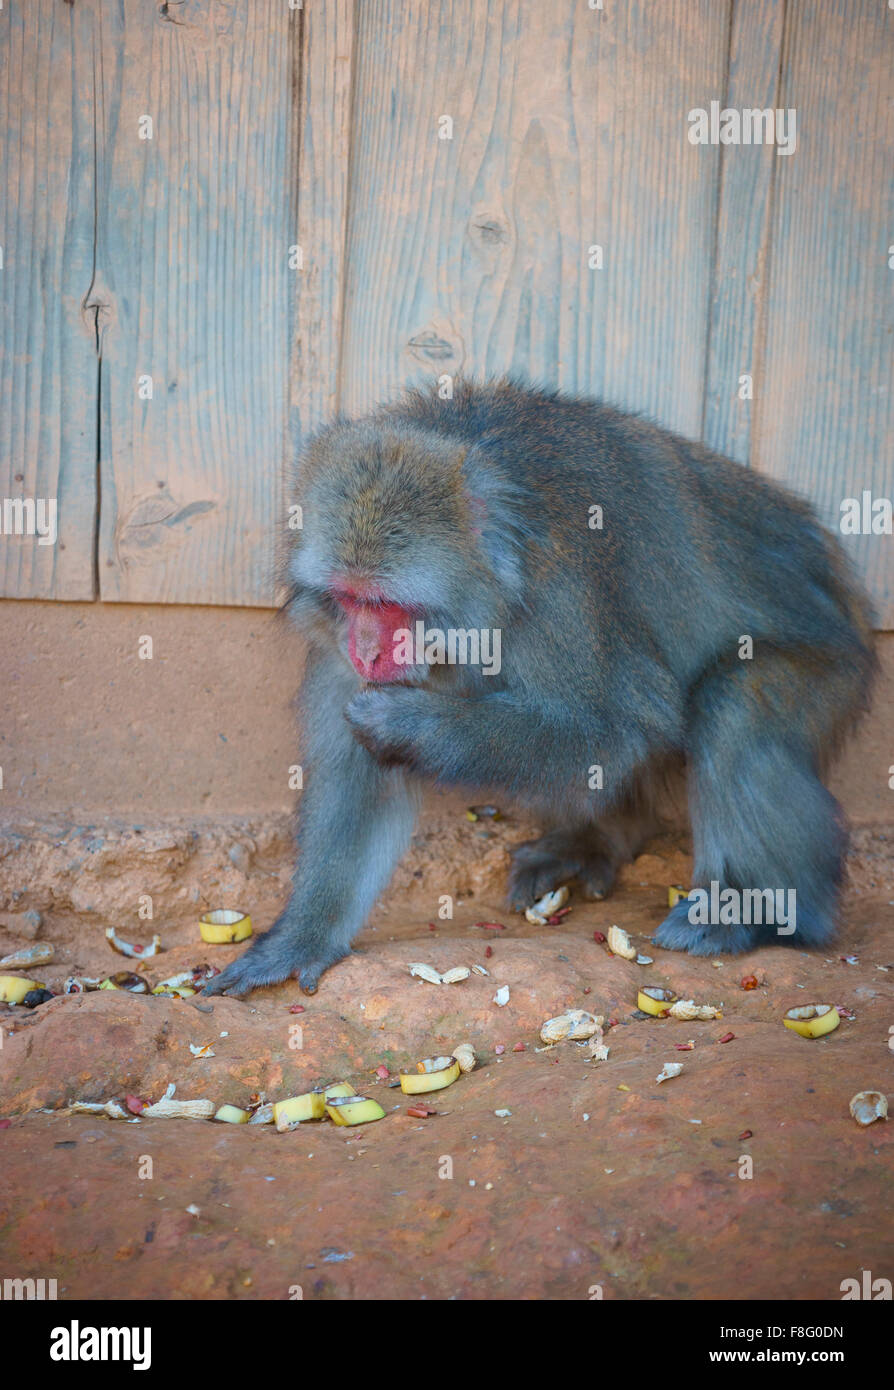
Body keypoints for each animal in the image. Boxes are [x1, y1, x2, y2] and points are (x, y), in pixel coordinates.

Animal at [203, 377, 876, 998]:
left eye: (387, 603)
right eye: (347, 597)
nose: (366, 650)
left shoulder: (562, 589)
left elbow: (617, 728)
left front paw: (411, 725)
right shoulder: (336, 644)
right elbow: (359, 777)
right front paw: (301, 938)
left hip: (834, 669)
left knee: (736, 703)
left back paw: (752, 912)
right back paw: (596, 841)